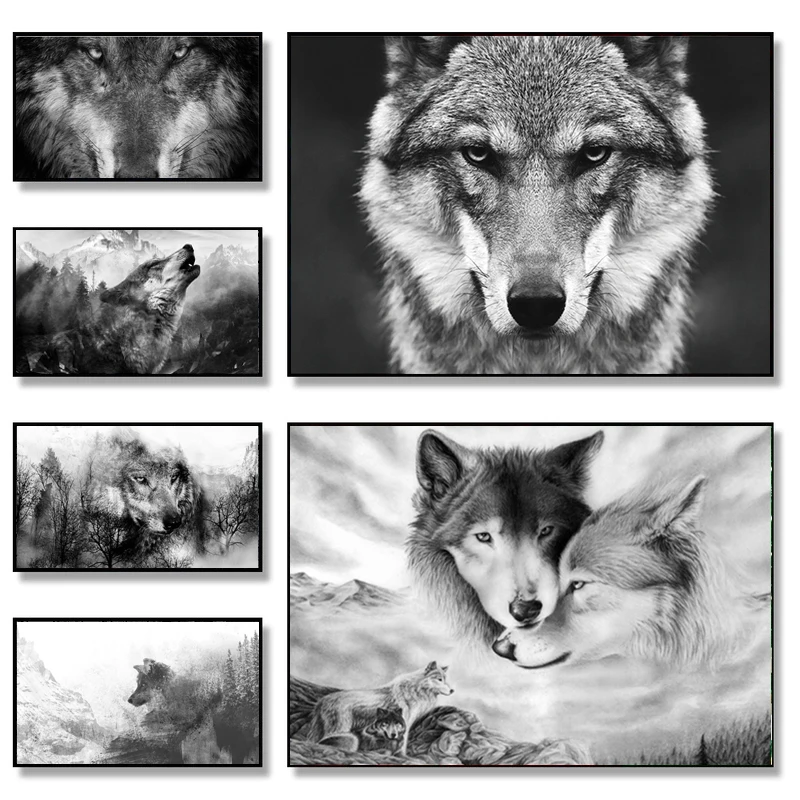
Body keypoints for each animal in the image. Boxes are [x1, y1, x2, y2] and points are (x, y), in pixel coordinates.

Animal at [308, 661, 453, 756]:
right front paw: (402, 757)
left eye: (446, 679)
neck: (416, 689)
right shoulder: (404, 722)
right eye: (439, 679)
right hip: (341, 729)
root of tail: (322, 700)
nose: (452, 690)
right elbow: (403, 743)